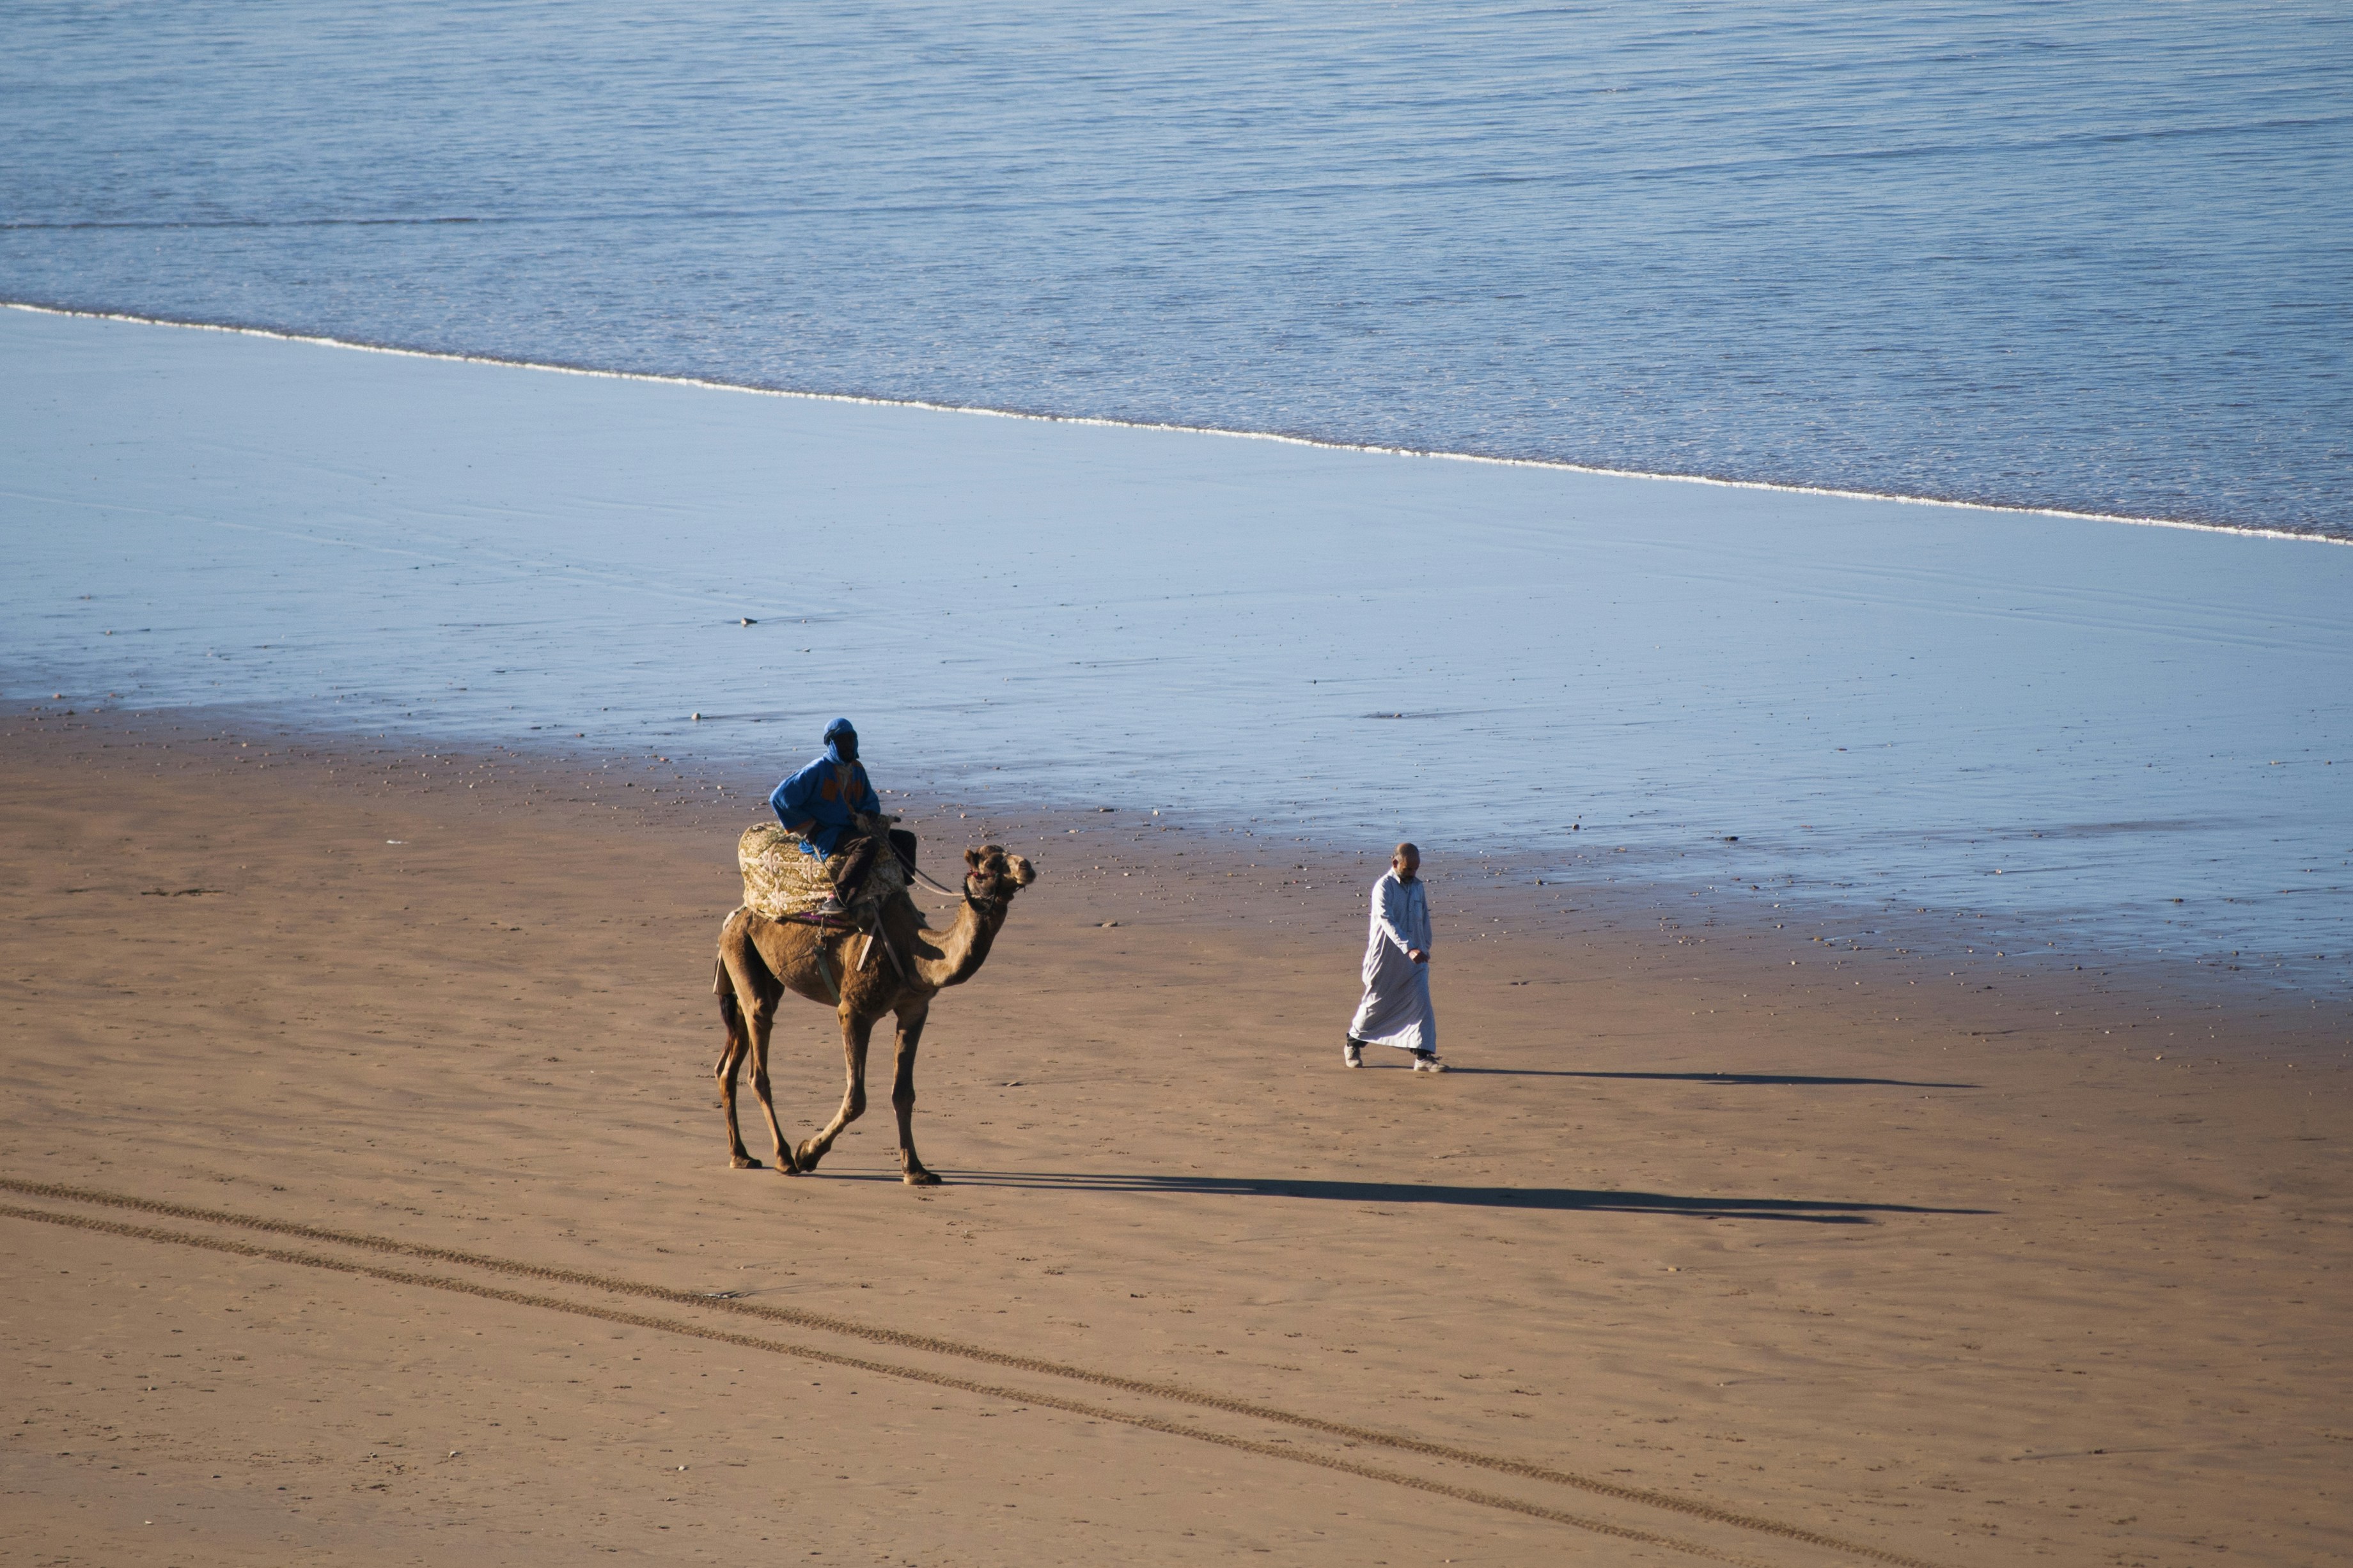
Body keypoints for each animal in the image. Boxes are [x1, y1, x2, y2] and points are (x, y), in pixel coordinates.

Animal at [712, 843, 1036, 1184]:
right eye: (990, 864)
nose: (1027, 867)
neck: (916, 952)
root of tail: (734, 918)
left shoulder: (914, 1009)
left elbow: (903, 1093)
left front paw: (916, 1170)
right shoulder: (854, 1010)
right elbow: (856, 1099)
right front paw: (808, 1153)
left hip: (757, 970)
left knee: (729, 1062)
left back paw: (741, 1155)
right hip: (741, 949)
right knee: (758, 1055)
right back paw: (785, 1158)